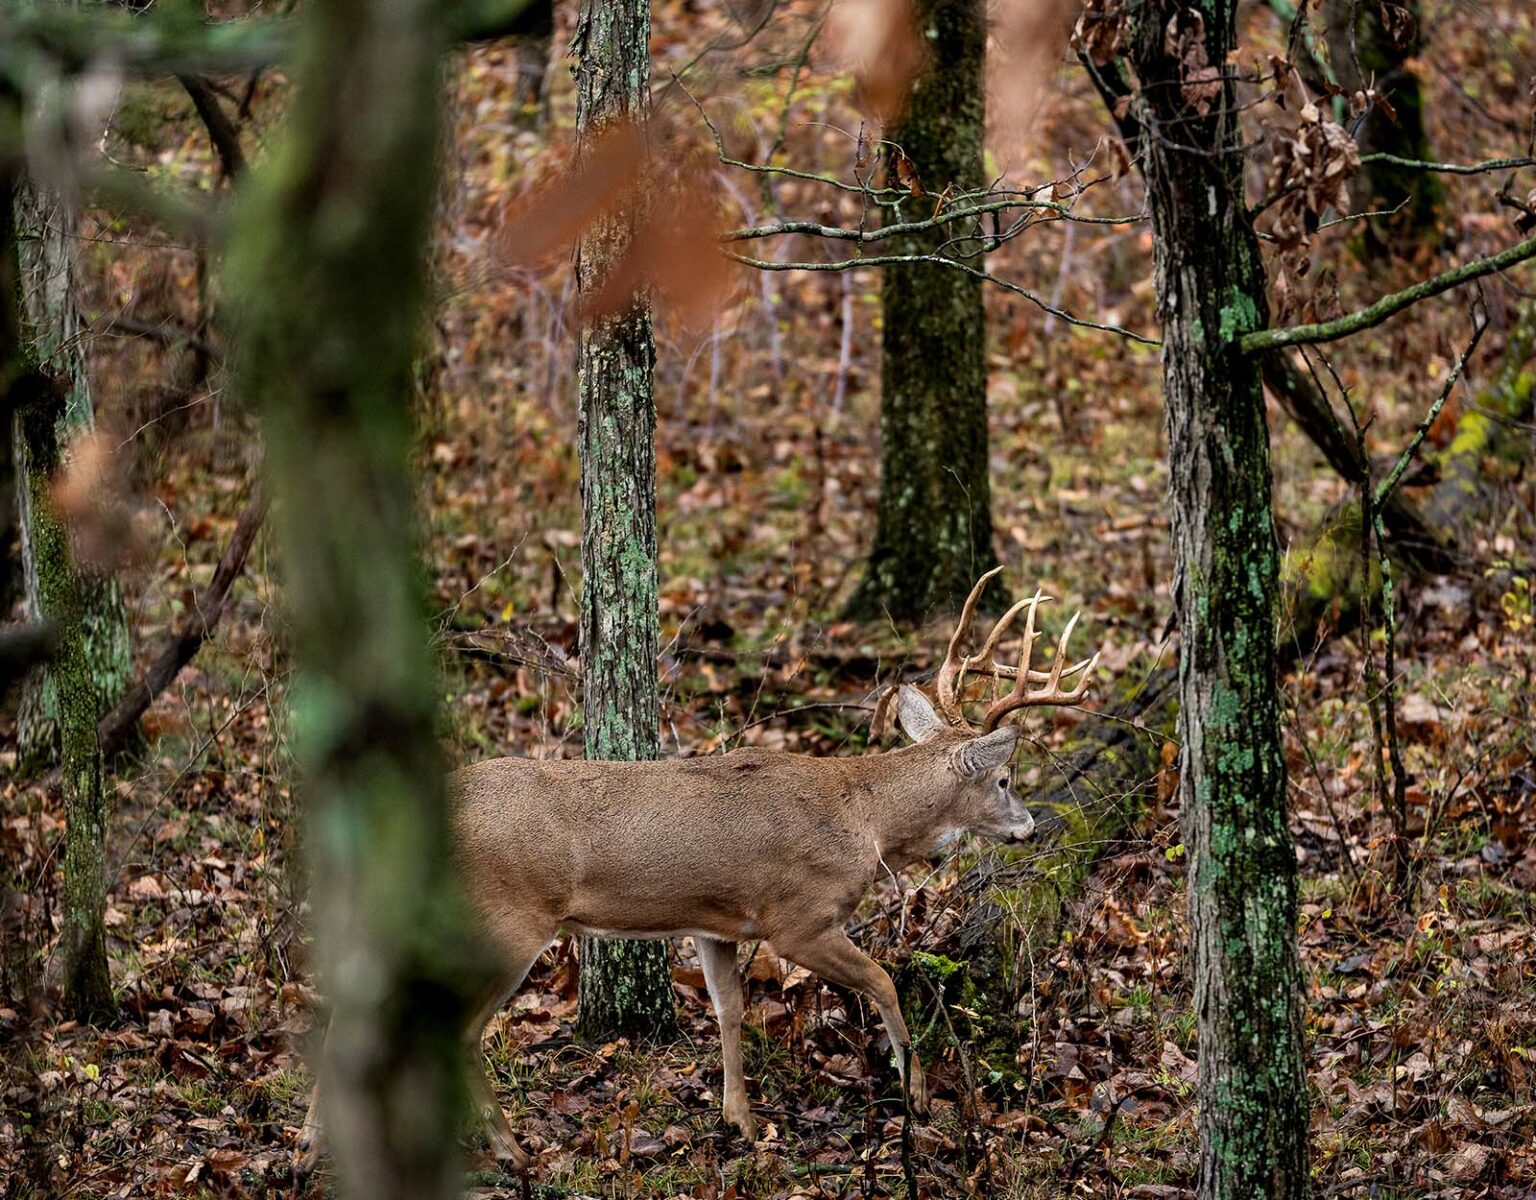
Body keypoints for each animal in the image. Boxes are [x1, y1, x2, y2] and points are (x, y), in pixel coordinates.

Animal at [296, 567, 1097, 1174]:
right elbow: (883, 981)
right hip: (504, 919)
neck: (863, 819)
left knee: (353, 1002)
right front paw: (918, 1095)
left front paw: (739, 1120)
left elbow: (729, 1010)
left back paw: (310, 1144)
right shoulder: (799, 919)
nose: (1029, 826)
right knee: (456, 1030)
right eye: (1003, 780)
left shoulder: (717, 924)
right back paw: (507, 1150)